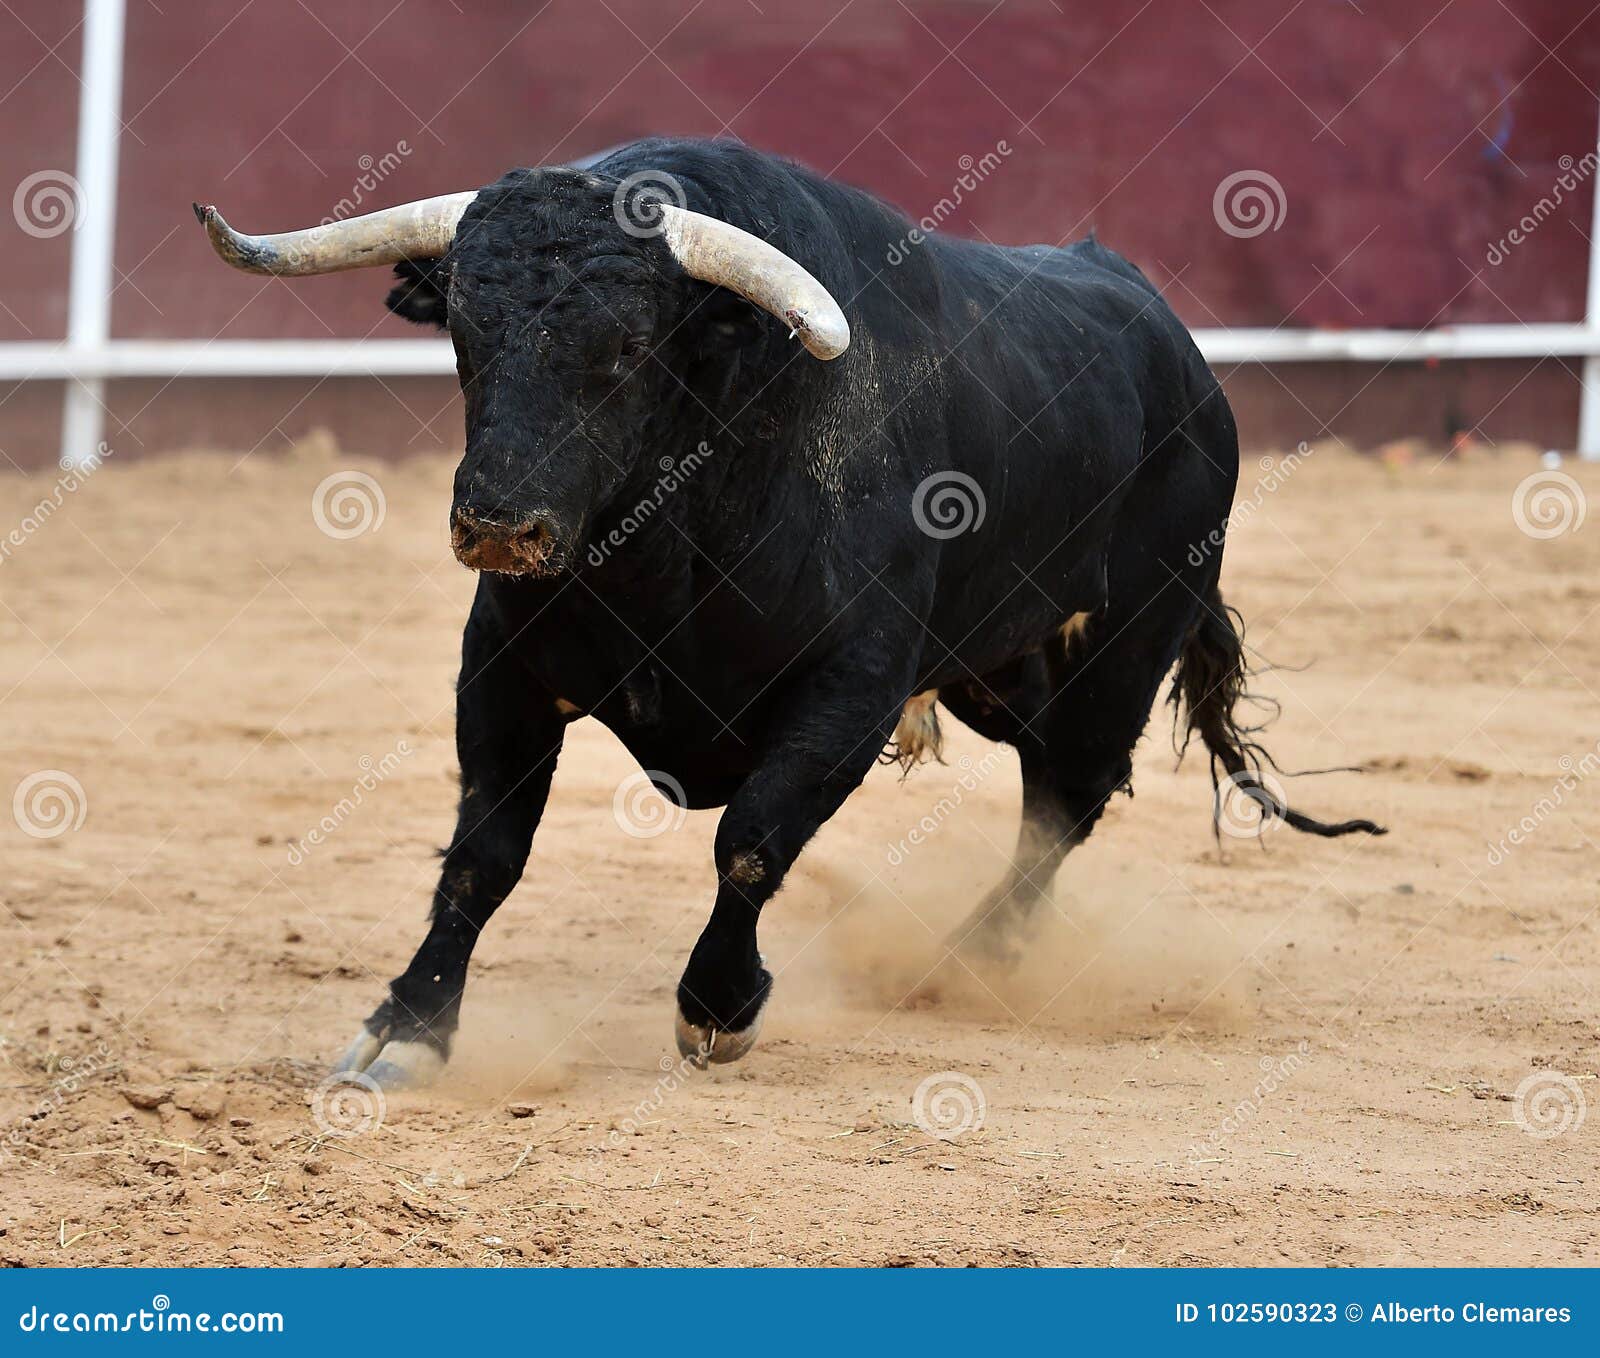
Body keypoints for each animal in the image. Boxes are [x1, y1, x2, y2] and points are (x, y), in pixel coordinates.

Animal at [195, 138, 1383, 1089]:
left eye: (627, 348)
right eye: (463, 335)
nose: (499, 527)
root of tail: (1182, 359)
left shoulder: (852, 685)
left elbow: (753, 842)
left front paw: (715, 1010)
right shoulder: (504, 666)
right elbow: (484, 852)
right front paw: (409, 1027)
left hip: (1127, 644)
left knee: (1067, 796)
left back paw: (968, 963)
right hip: (1000, 669)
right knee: (1049, 780)